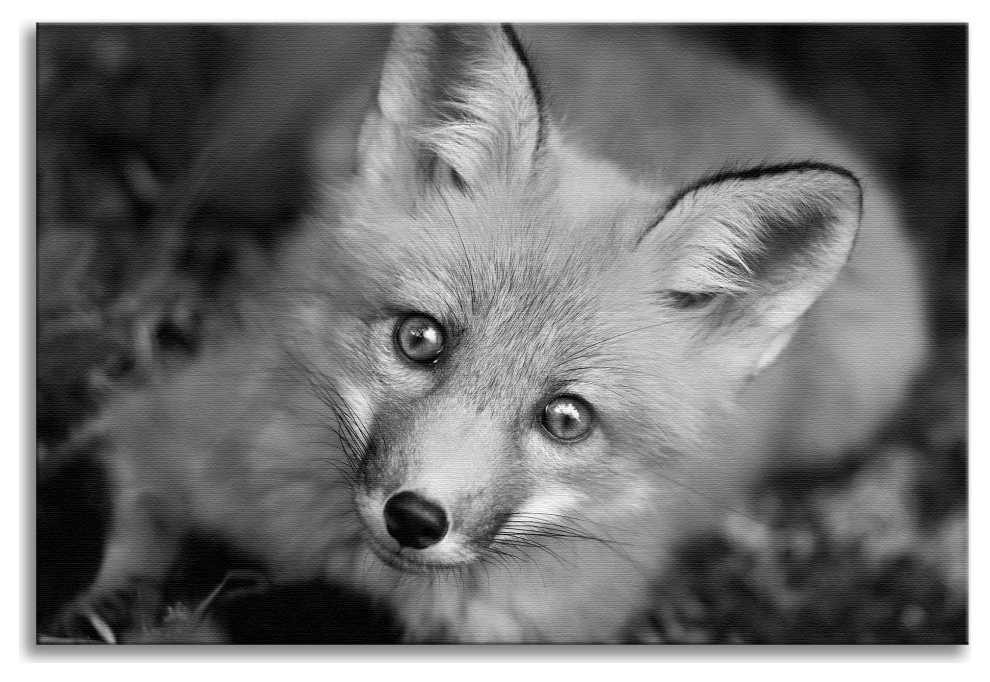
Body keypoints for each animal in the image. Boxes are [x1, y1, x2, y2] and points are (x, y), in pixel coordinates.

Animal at [49, 24, 928, 643]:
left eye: (565, 417)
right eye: (419, 339)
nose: (414, 518)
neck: (350, 571)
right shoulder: (160, 425)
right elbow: (113, 536)